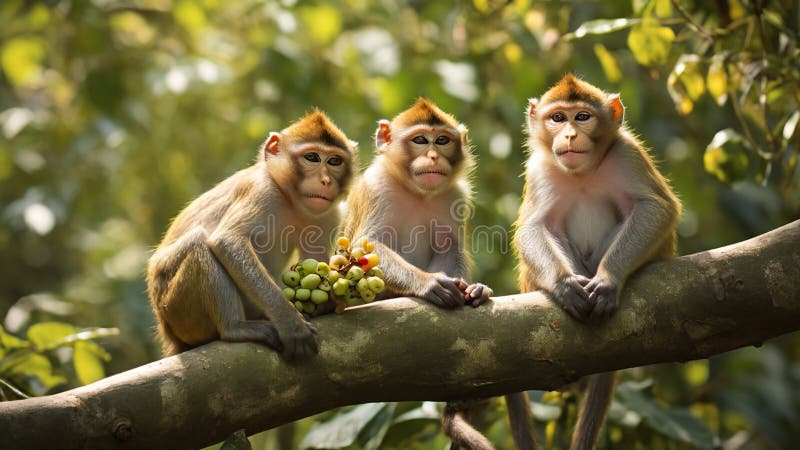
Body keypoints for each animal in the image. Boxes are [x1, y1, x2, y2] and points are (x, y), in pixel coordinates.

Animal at [146, 110, 357, 360]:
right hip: (176, 311)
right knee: (198, 242)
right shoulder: (260, 190)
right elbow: (227, 241)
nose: (325, 181)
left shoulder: (329, 213)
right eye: (312, 157)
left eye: (335, 161)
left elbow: (315, 262)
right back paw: (235, 327)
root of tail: (166, 331)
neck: (289, 199)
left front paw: (325, 301)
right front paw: (291, 323)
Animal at [343, 98, 517, 450]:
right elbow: (367, 247)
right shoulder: (377, 187)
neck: (417, 192)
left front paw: (475, 289)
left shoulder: (456, 195)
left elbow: (450, 246)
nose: (434, 156)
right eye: (421, 140)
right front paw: (429, 284)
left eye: (443, 140)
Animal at [513, 74, 681, 450]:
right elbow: (532, 228)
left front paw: (607, 281)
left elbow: (656, 207)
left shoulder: (627, 154)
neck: (583, 174)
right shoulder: (539, 169)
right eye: (557, 118)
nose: (569, 135)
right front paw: (565, 286)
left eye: (582, 117)